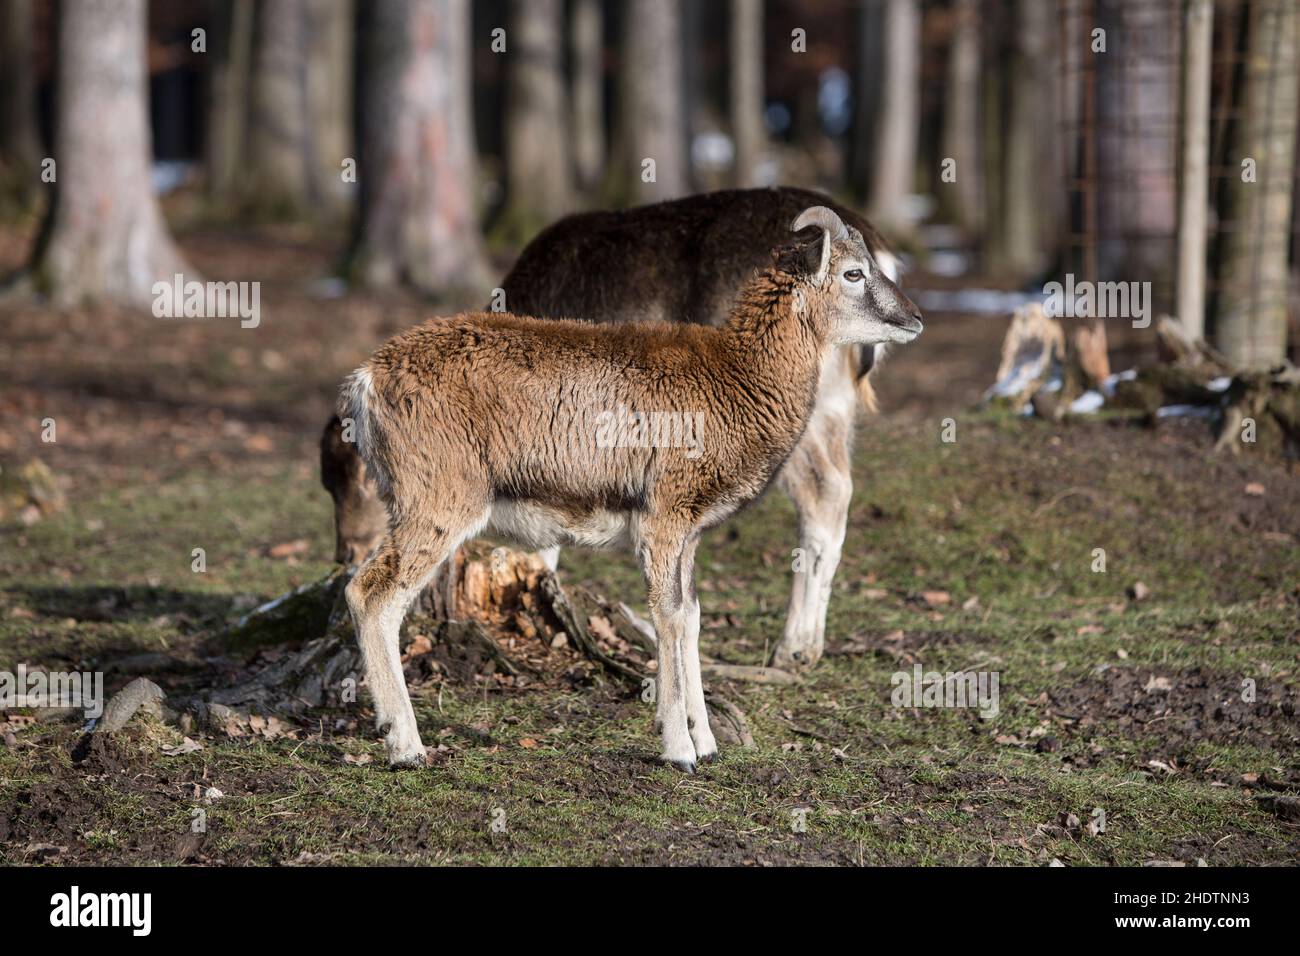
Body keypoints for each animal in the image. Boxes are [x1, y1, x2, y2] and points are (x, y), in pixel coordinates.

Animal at [340, 206, 922, 770]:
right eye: (853, 273)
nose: (914, 319)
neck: (736, 379)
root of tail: (368, 380)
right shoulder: (662, 525)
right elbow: (667, 617)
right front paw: (680, 752)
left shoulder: (689, 537)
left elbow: (690, 619)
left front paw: (707, 745)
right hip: (436, 507)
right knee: (371, 594)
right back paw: (406, 749)